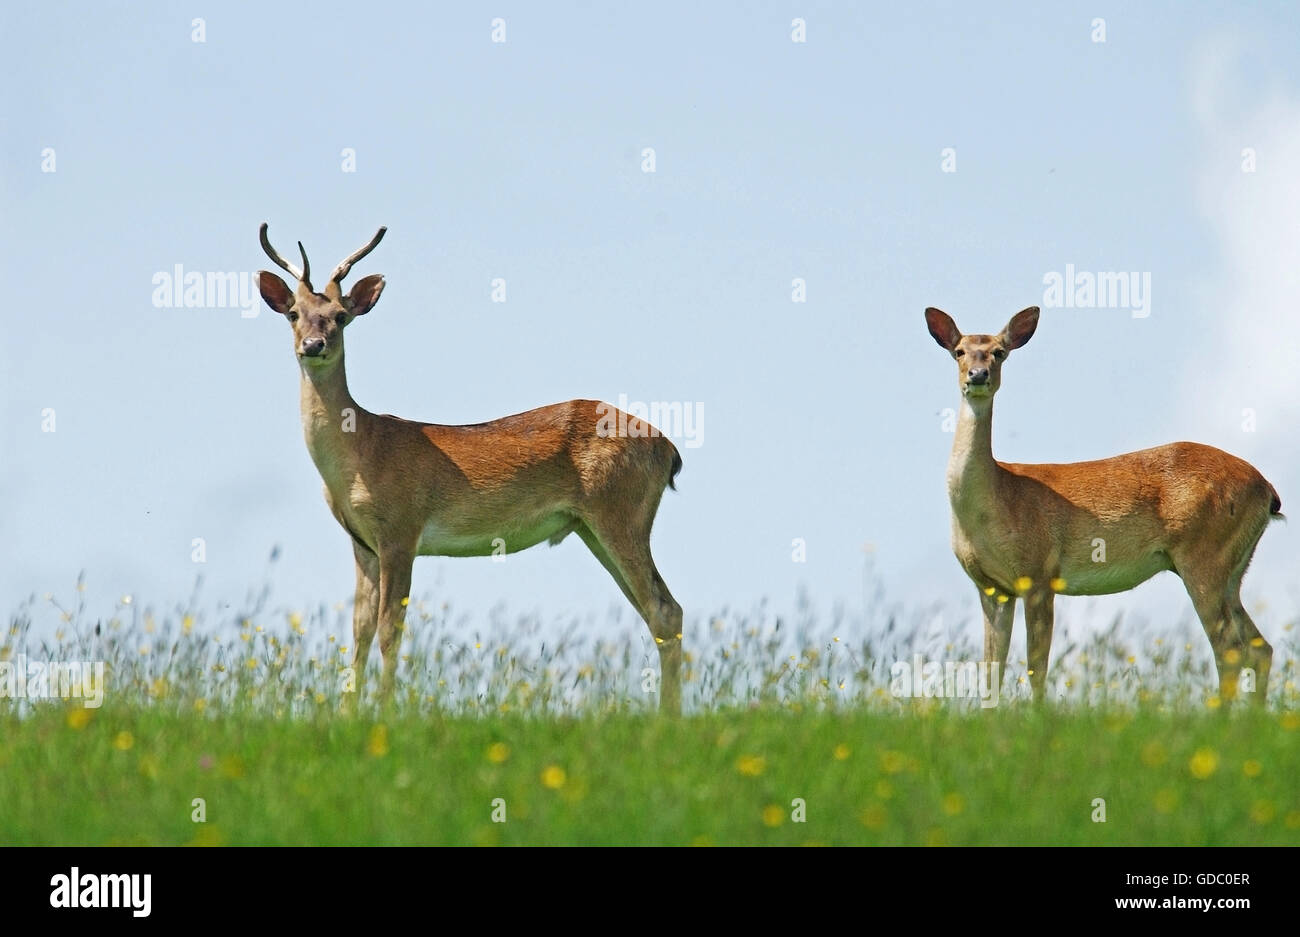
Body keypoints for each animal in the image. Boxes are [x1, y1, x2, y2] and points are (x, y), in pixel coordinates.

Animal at [256, 224, 685, 713]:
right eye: (293, 313)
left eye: (341, 316)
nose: (313, 345)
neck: (360, 453)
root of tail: (669, 449)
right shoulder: (361, 541)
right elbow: (360, 631)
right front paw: (349, 715)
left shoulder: (402, 528)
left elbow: (389, 630)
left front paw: (384, 712)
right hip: (591, 526)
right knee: (658, 612)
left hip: (619, 511)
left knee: (665, 609)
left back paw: (668, 717)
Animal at [925, 305, 1281, 705]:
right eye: (959, 351)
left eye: (1000, 352)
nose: (978, 375)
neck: (995, 498)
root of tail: (1267, 489)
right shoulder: (992, 587)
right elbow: (991, 670)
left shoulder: (1039, 572)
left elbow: (1036, 667)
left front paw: (1038, 714)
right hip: (1232, 568)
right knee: (1259, 647)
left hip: (1203, 554)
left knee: (1229, 648)